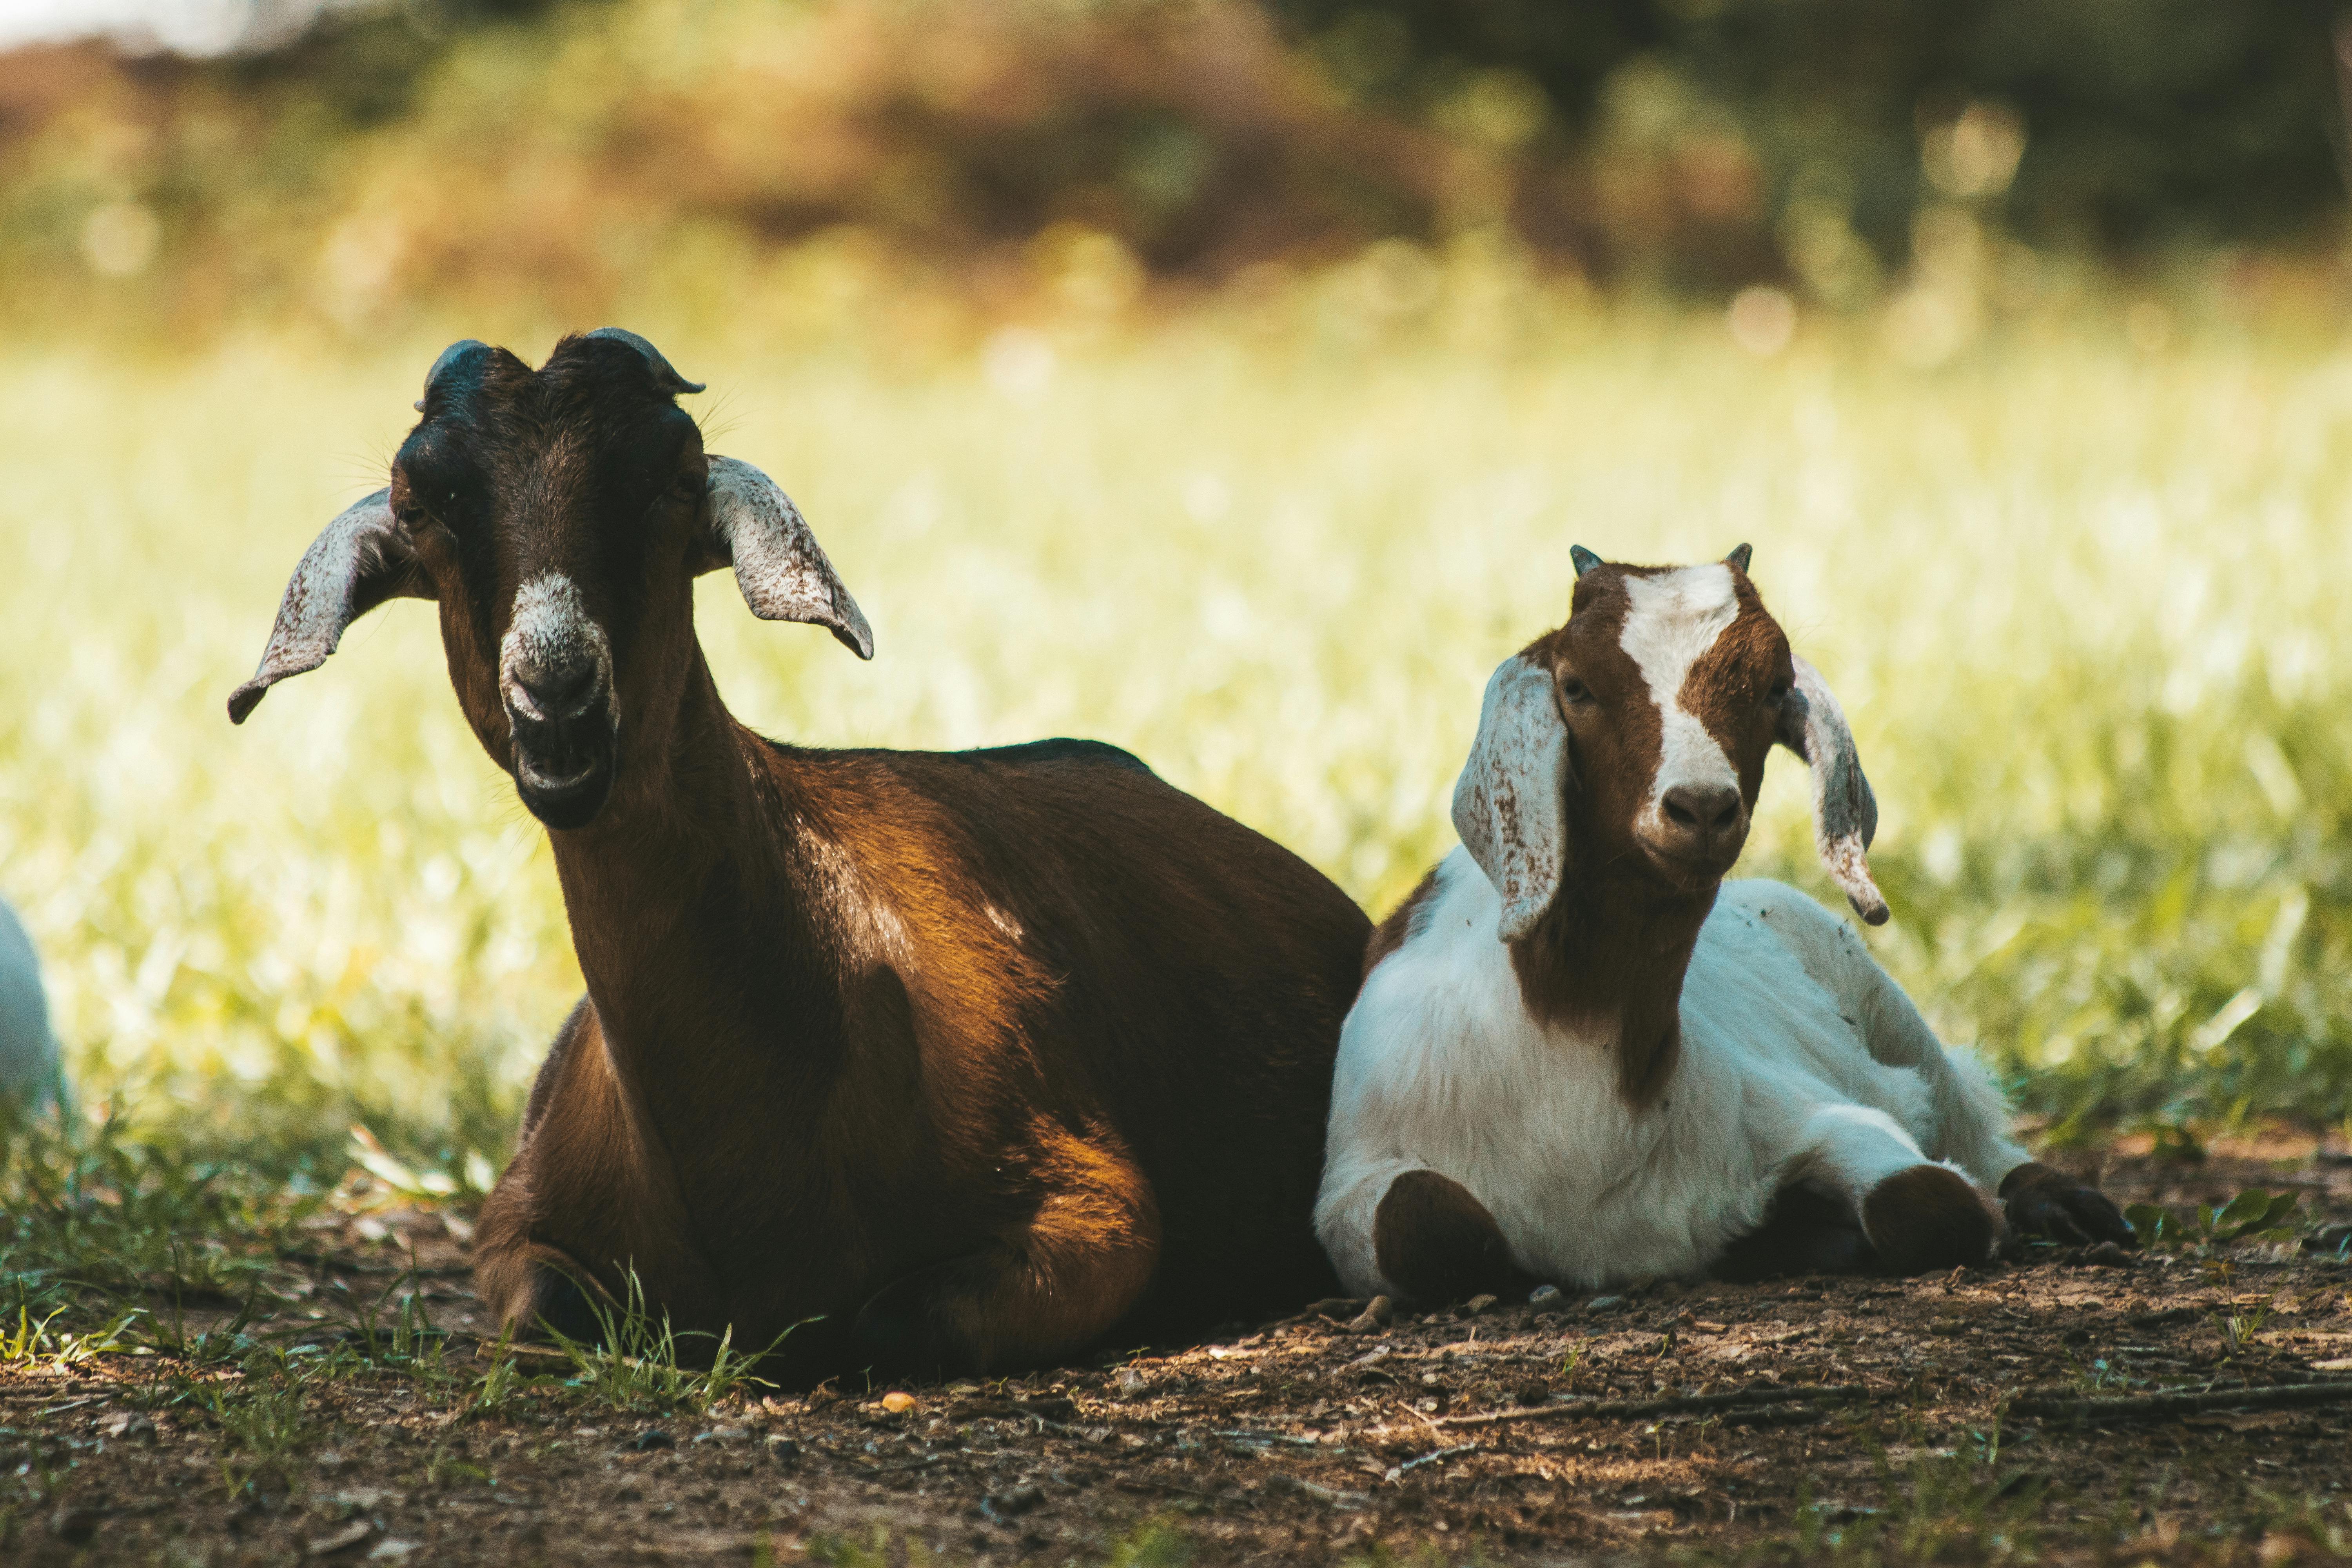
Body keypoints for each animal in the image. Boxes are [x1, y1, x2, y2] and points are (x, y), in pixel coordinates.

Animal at [229, 330, 1369, 1377]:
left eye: (679, 478)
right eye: (418, 501)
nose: (558, 703)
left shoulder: (1100, 1218)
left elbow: (888, 1319)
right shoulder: (514, 1228)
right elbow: (554, 1308)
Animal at [1315, 546, 2130, 1303]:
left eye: (1773, 688)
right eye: (1577, 686)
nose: (1702, 807)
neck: (1580, 1050)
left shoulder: (1815, 1110)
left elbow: (1931, 1199)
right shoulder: (1358, 1178)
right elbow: (1426, 1222)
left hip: (1874, 993)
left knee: (1969, 1120)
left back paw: (2070, 1207)